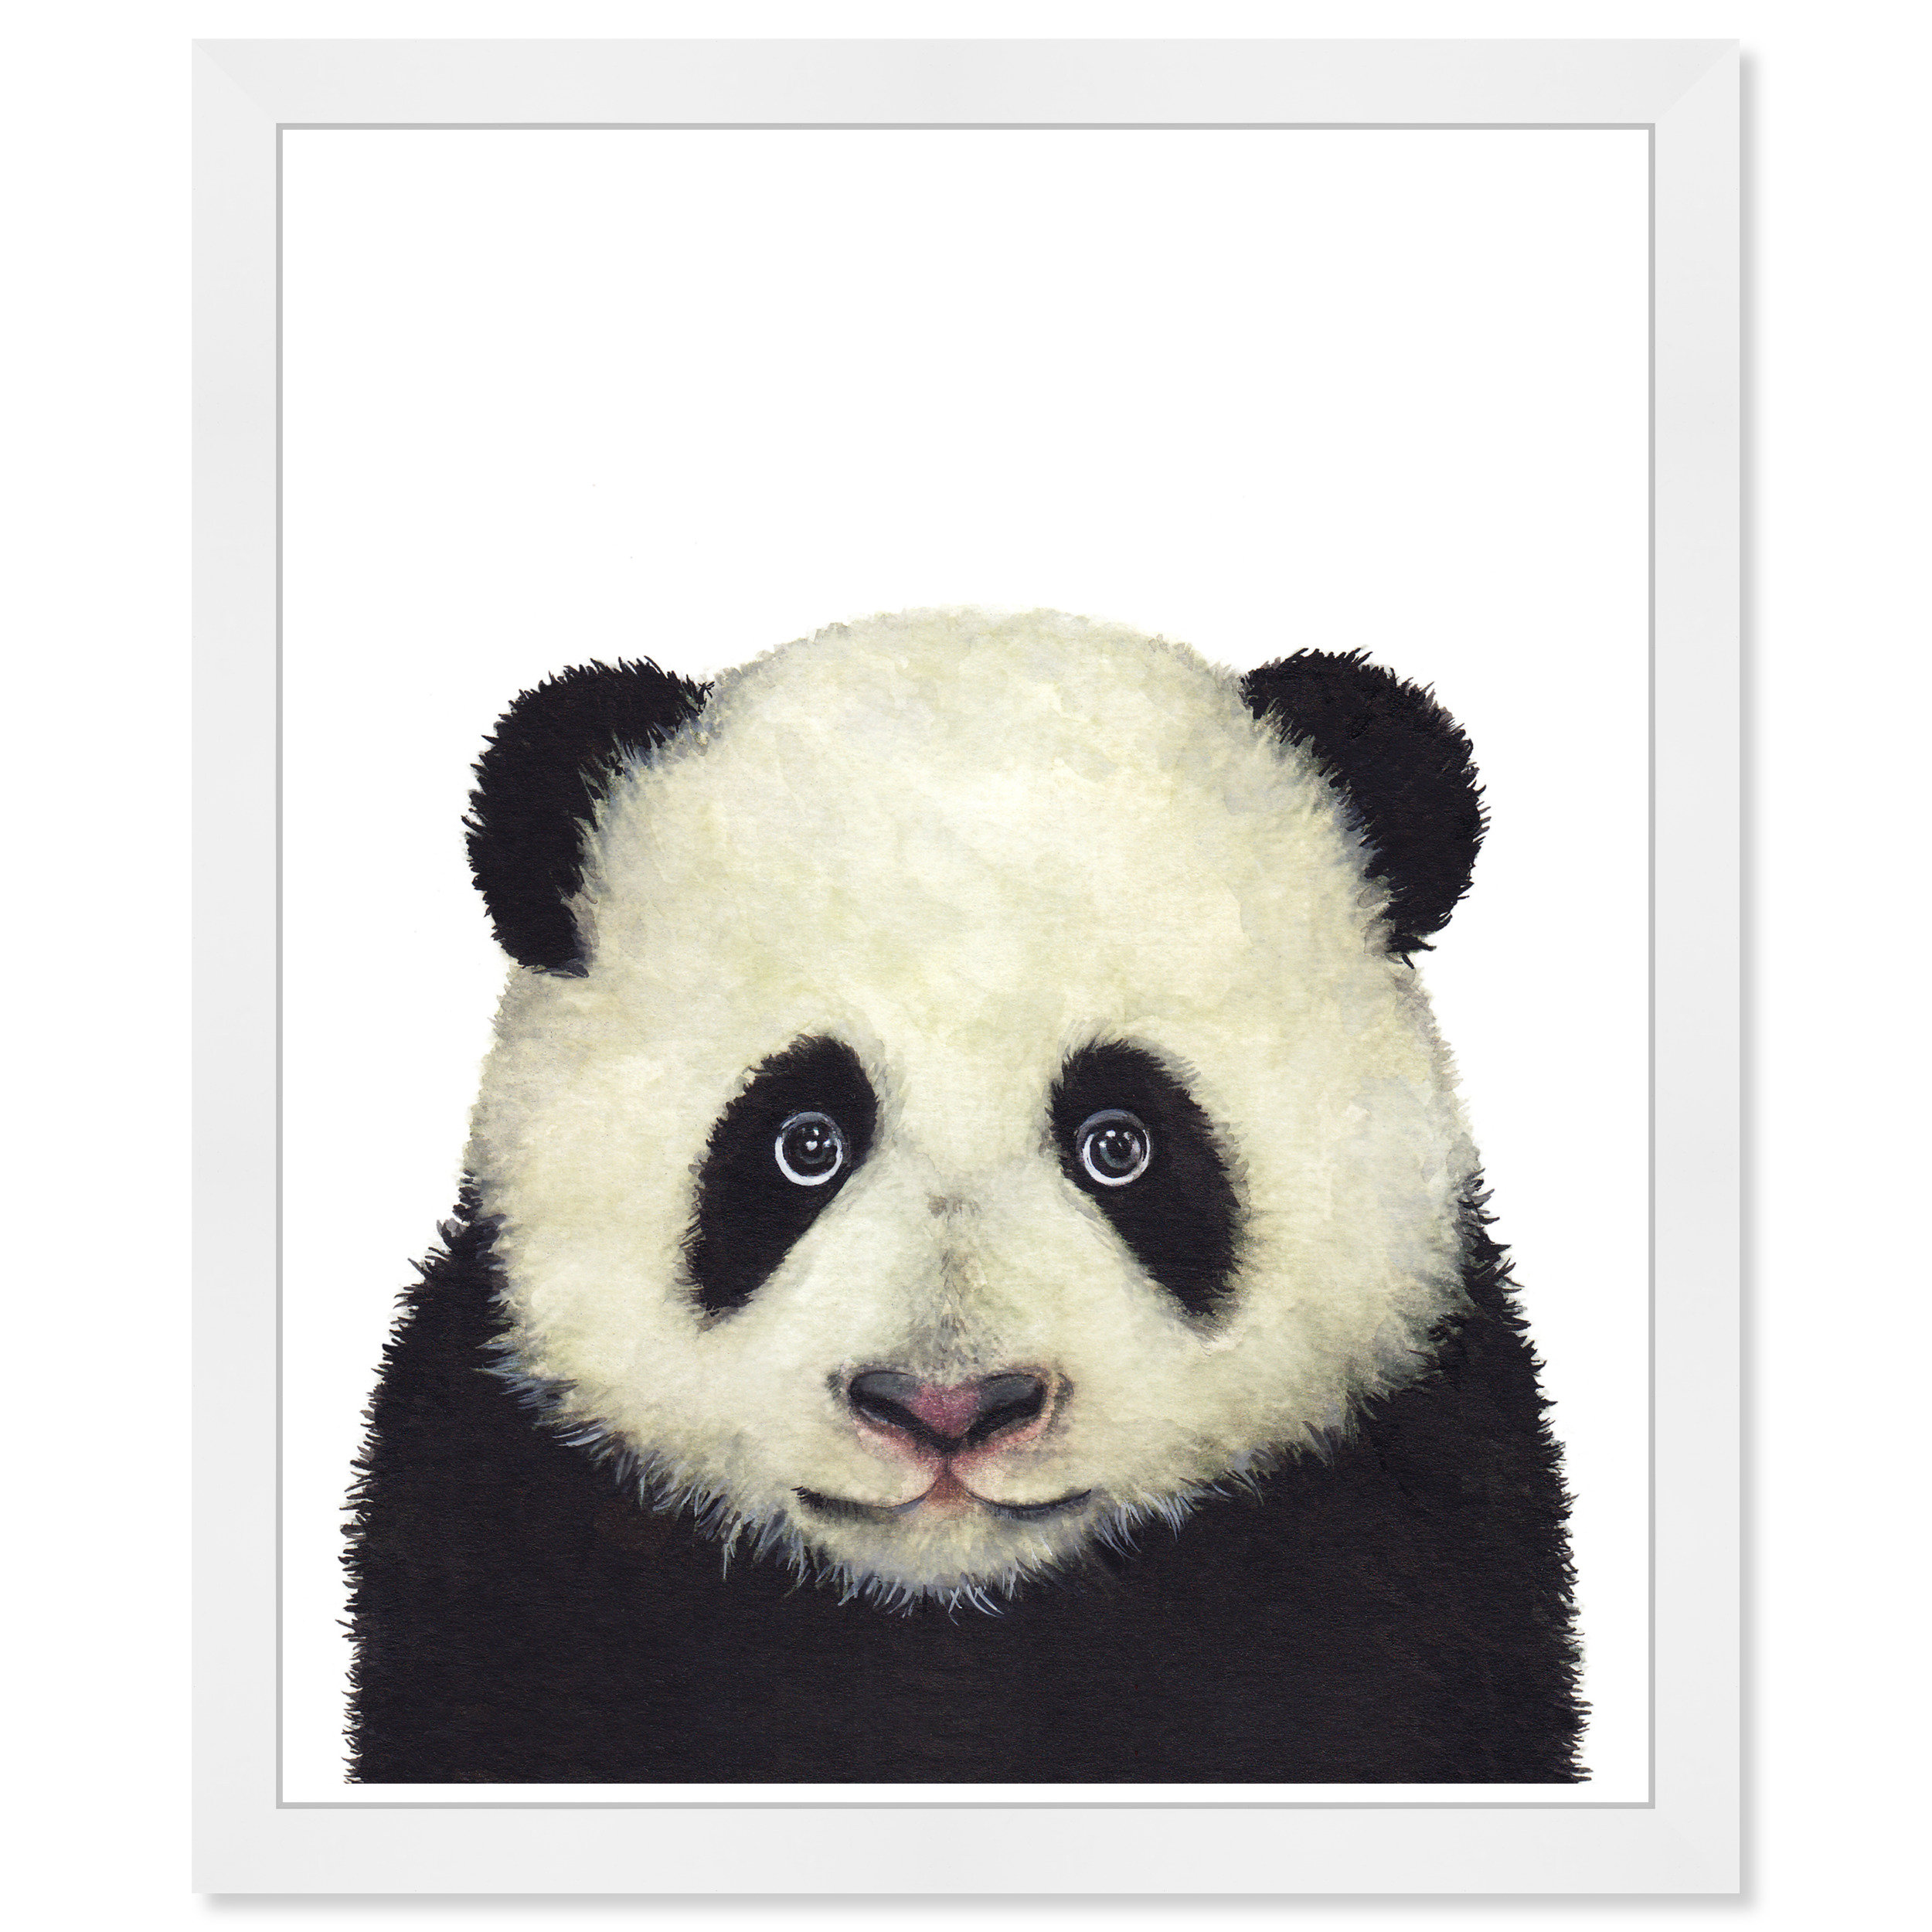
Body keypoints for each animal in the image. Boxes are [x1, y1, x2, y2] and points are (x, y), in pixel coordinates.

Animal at [347, 608, 1583, 1785]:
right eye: (804, 1143)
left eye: (1120, 1144)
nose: (947, 1408)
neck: (953, 1609)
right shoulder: (506, 1520)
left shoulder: (1417, 1528)